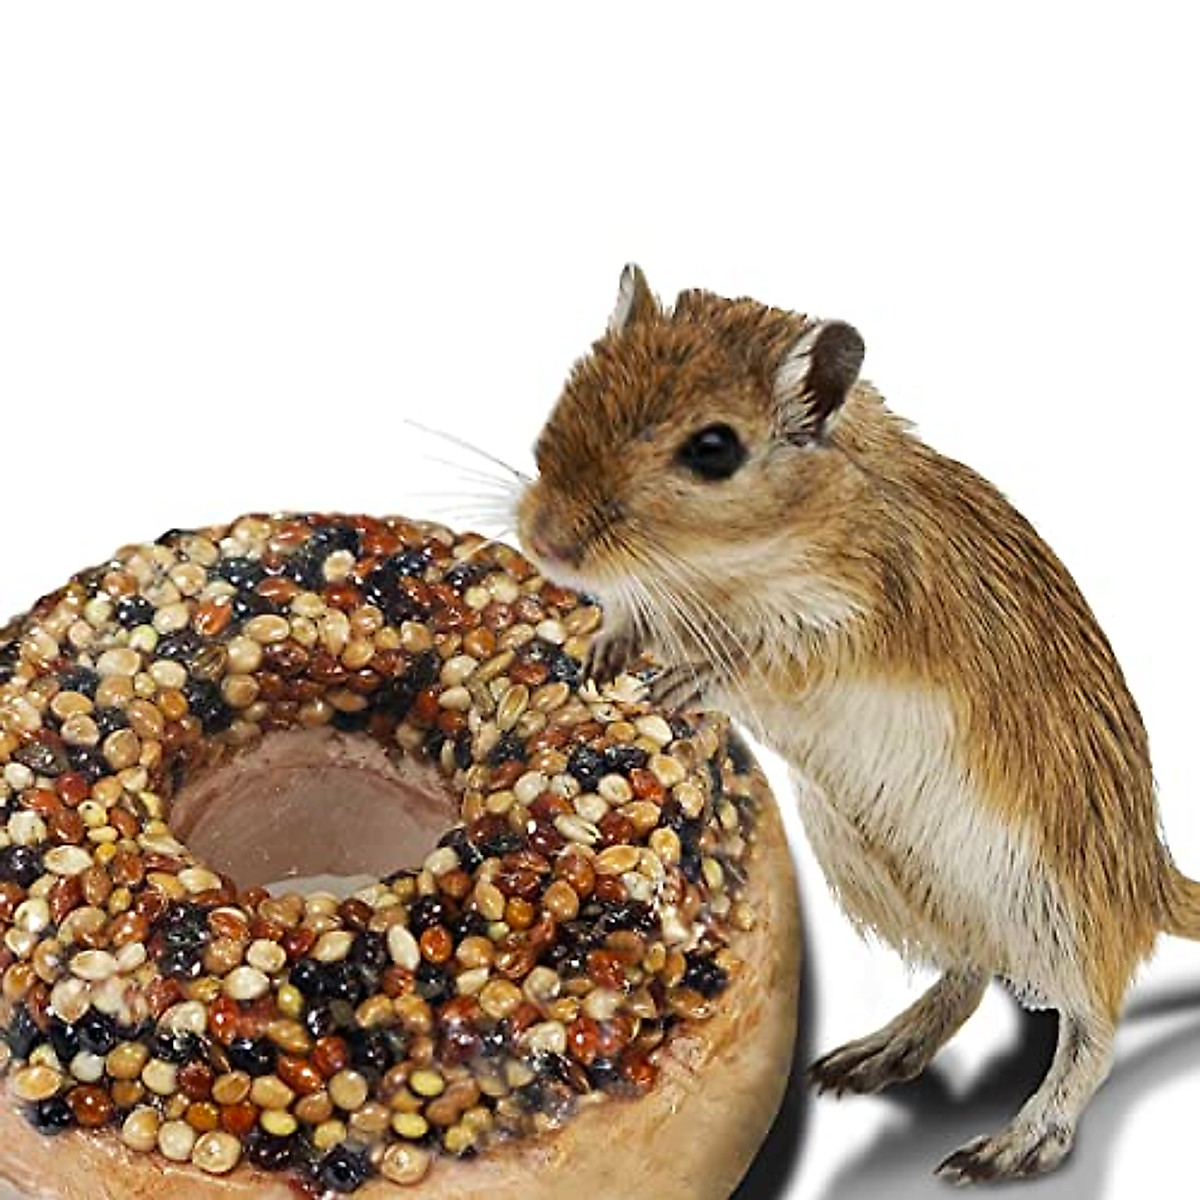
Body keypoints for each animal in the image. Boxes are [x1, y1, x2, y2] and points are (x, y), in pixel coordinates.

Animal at [515, 265, 1200, 1183]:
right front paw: (602, 653)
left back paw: (1012, 1144)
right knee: (968, 972)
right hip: (884, 867)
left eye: (713, 449)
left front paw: (685, 677)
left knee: (1090, 1024)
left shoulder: (851, 623)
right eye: (572, 387)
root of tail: (1147, 881)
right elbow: (635, 616)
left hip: (1052, 898)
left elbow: (760, 658)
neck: (735, 564)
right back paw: (874, 1055)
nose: (543, 540)